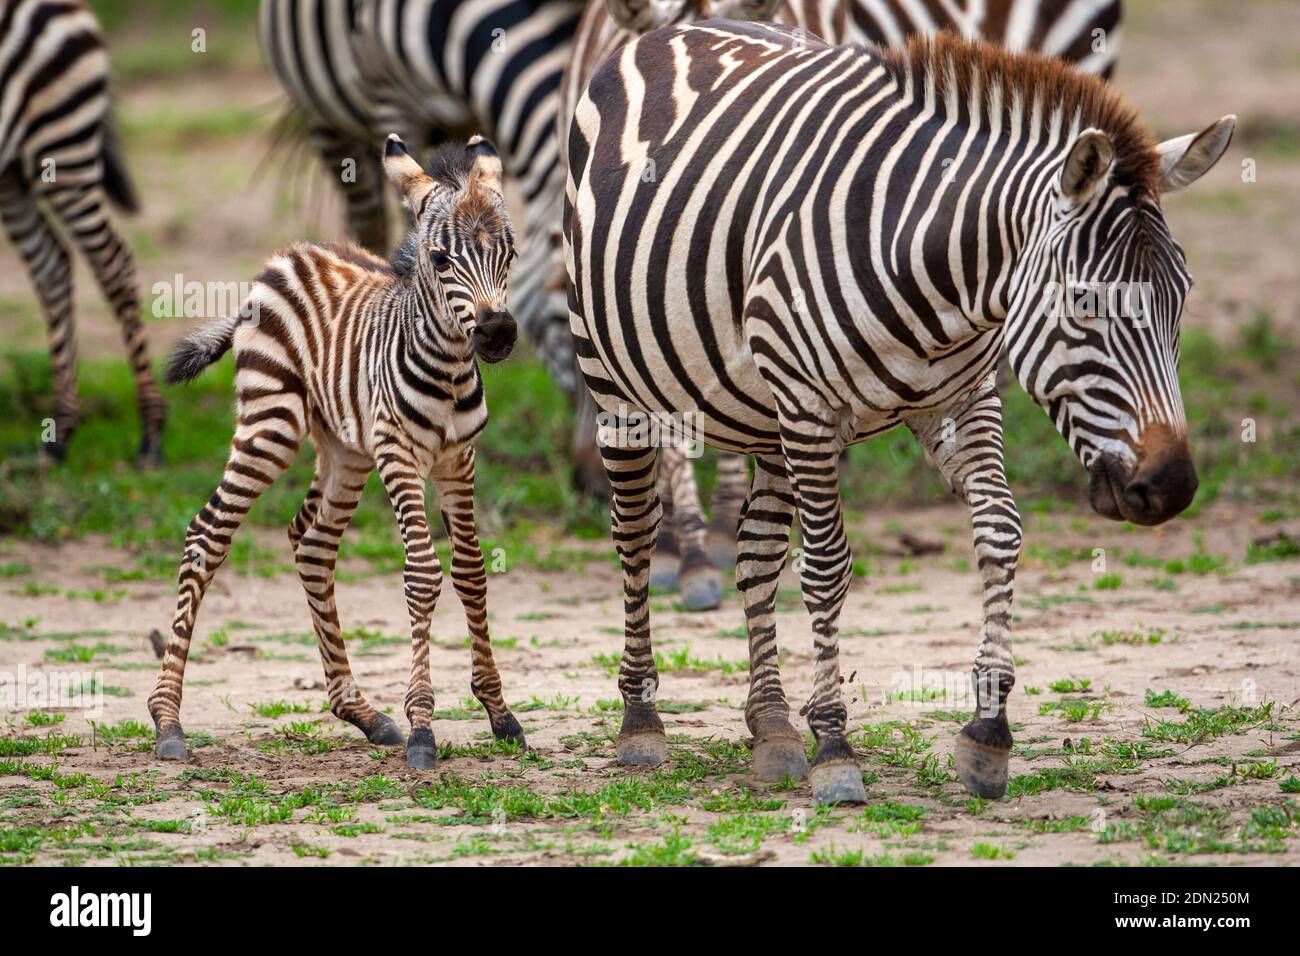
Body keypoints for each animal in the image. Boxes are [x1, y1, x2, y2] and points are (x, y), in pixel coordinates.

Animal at [0, 0, 165, 463]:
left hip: (59, 139)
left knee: (113, 264)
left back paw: (150, 435)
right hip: (11, 172)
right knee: (51, 264)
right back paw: (59, 435)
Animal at [147, 134, 524, 770]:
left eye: (511, 253)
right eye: (441, 261)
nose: (496, 333)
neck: (449, 369)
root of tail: (282, 258)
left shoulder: (458, 460)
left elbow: (472, 571)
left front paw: (499, 713)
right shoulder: (399, 454)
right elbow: (423, 574)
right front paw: (422, 727)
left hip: (347, 451)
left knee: (315, 544)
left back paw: (362, 713)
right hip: (269, 425)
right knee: (206, 536)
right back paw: (168, 720)